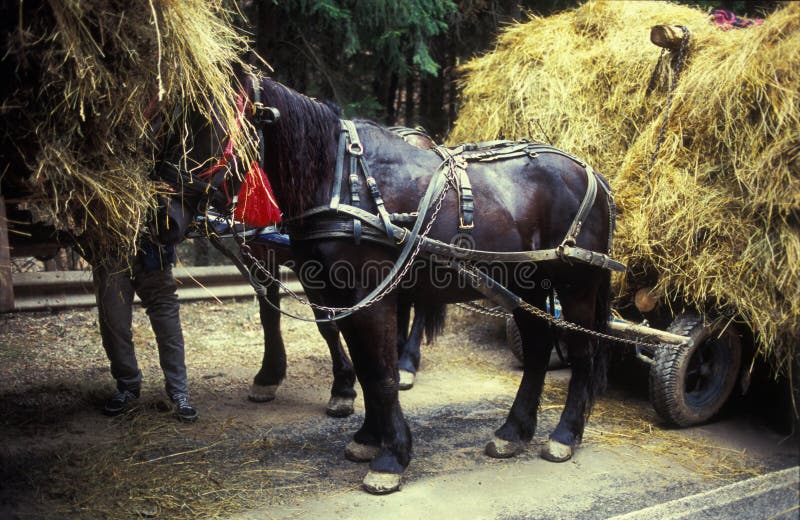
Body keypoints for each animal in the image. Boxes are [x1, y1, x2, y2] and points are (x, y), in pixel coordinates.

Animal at [156, 74, 619, 494]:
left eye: (208, 125)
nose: (165, 218)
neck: (339, 181)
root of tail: (592, 173)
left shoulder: (370, 296)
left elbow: (380, 373)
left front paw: (391, 457)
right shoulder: (337, 295)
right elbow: (364, 368)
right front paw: (367, 437)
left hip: (576, 286)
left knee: (584, 355)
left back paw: (564, 436)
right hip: (526, 287)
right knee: (539, 349)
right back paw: (513, 432)